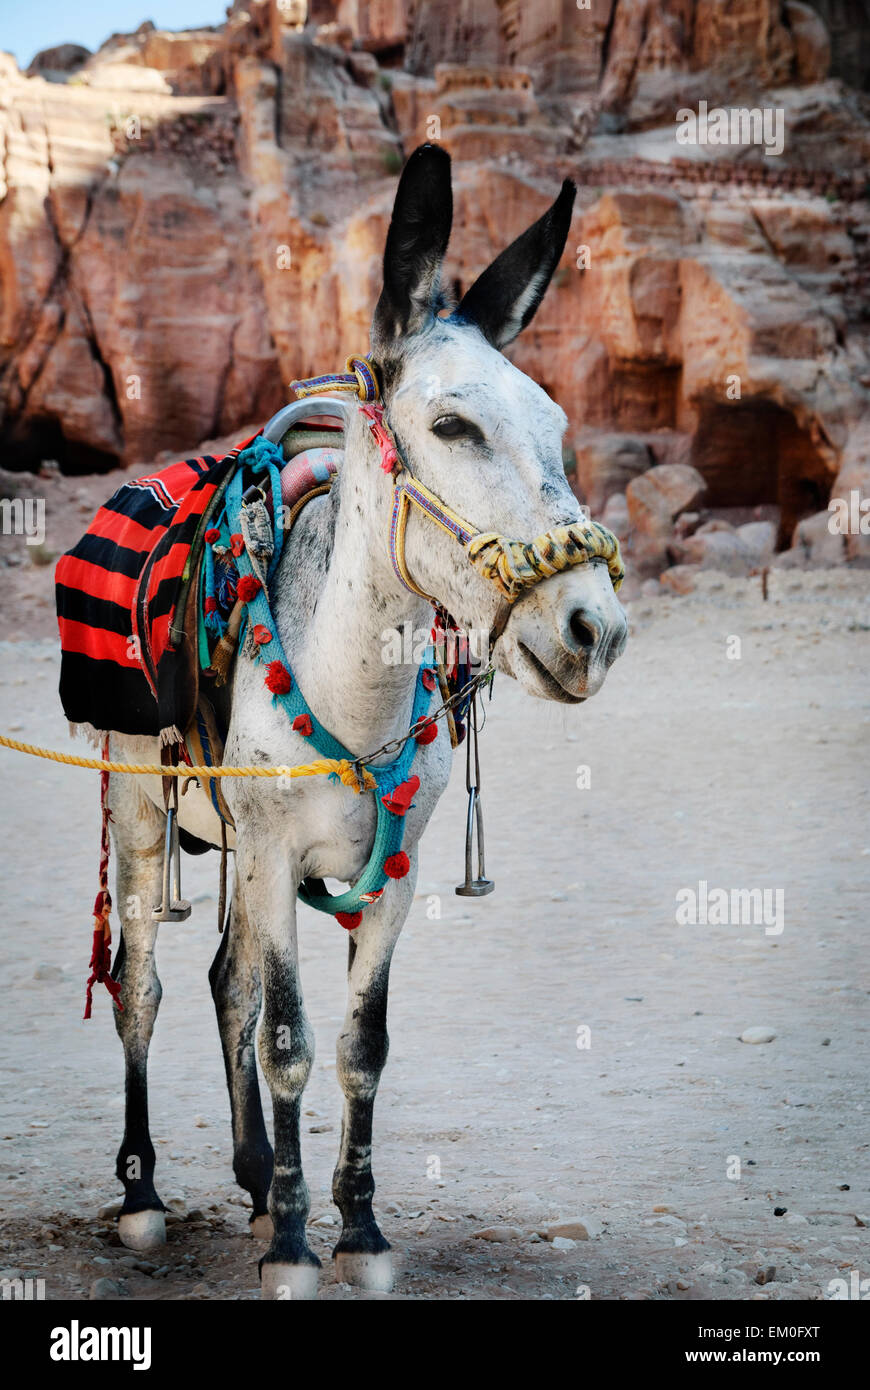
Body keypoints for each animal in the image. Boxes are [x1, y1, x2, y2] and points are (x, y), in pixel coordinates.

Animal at [99, 144, 628, 1298]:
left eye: (560, 434)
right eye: (453, 426)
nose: (596, 630)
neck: (353, 683)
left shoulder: (394, 874)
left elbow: (359, 1047)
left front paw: (358, 1229)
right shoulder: (271, 850)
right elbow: (291, 1041)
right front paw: (298, 1248)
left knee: (227, 981)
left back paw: (257, 1180)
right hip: (140, 811)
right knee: (143, 985)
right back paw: (146, 1195)